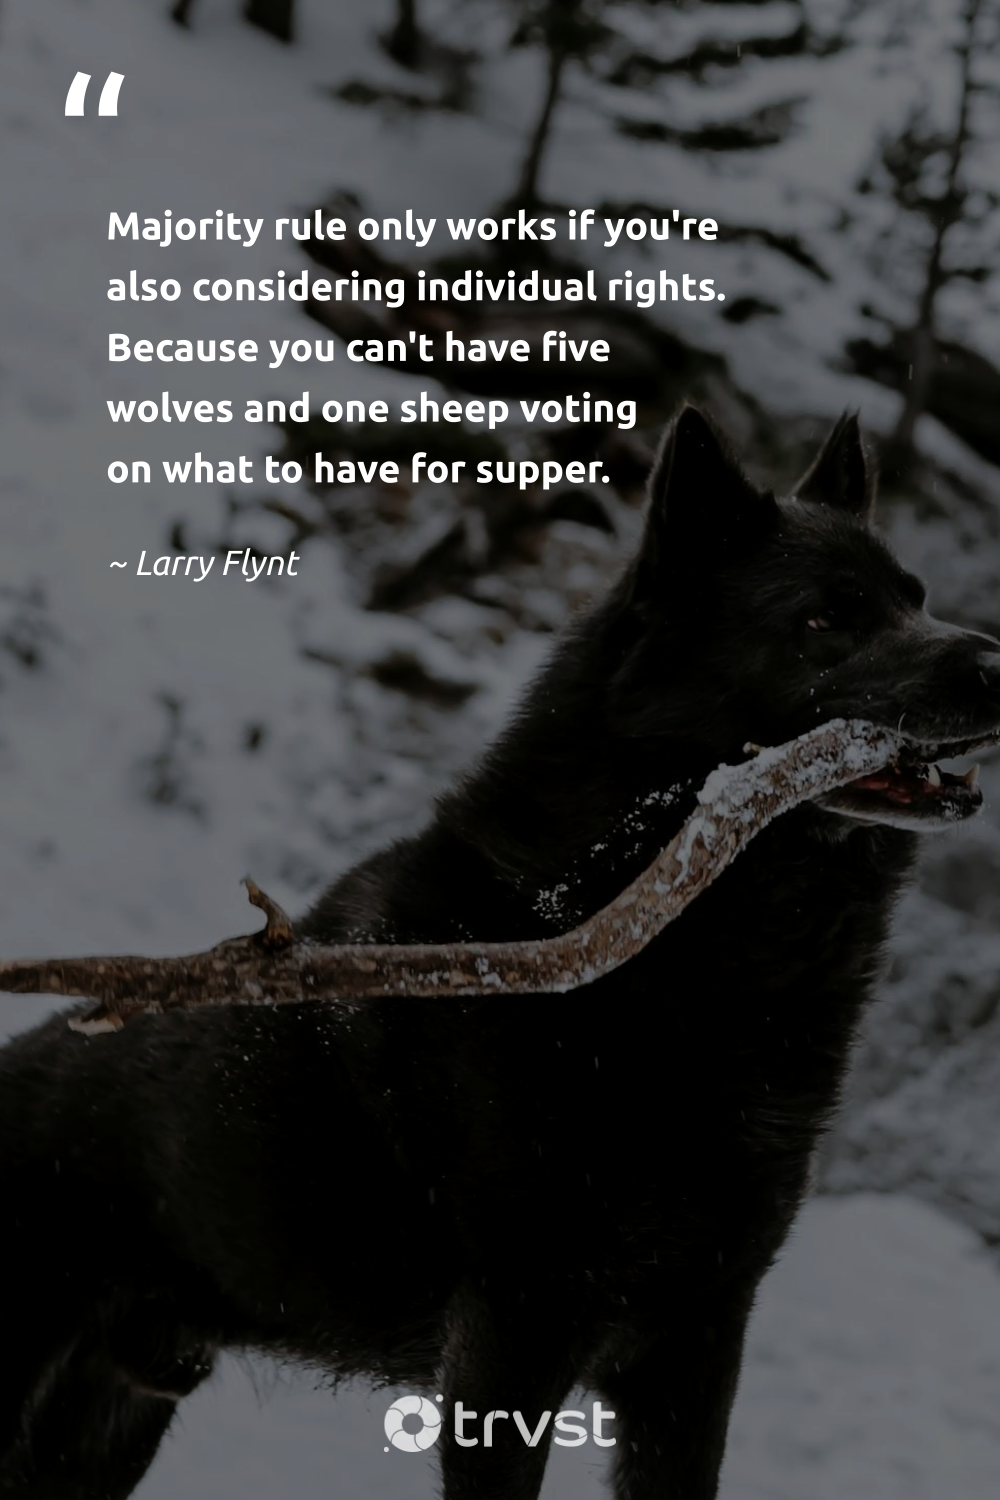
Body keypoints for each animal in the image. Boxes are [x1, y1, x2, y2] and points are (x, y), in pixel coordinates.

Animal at [2, 408, 999, 1500]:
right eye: (826, 620)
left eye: (915, 599)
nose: (997, 662)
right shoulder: (517, 1332)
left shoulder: (697, 1341)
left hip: (108, 1424)